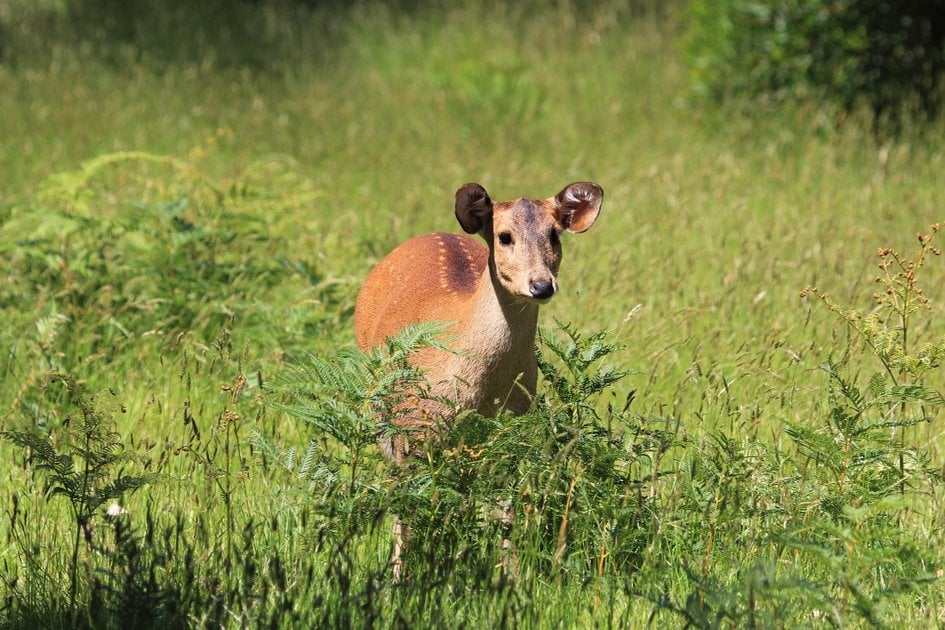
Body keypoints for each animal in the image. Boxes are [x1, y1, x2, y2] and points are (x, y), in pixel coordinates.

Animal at [354, 181, 603, 579]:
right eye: (504, 236)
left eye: (554, 234)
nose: (541, 285)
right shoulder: (409, 431)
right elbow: (405, 511)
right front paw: (398, 579)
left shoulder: (511, 433)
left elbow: (505, 513)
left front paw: (510, 579)